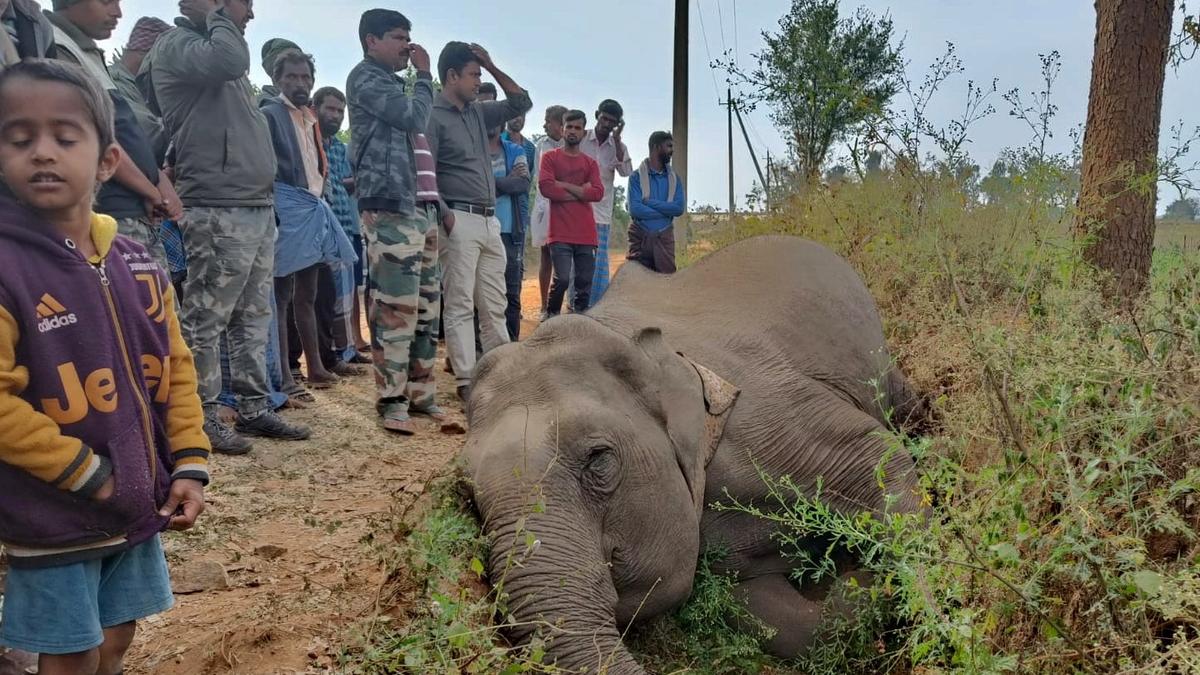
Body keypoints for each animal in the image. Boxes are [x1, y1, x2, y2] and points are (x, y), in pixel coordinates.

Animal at [462, 236, 925, 673]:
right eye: (468, 496)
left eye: (599, 458)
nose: (854, 569)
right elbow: (768, 610)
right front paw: (859, 585)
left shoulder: (769, 413)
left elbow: (882, 463)